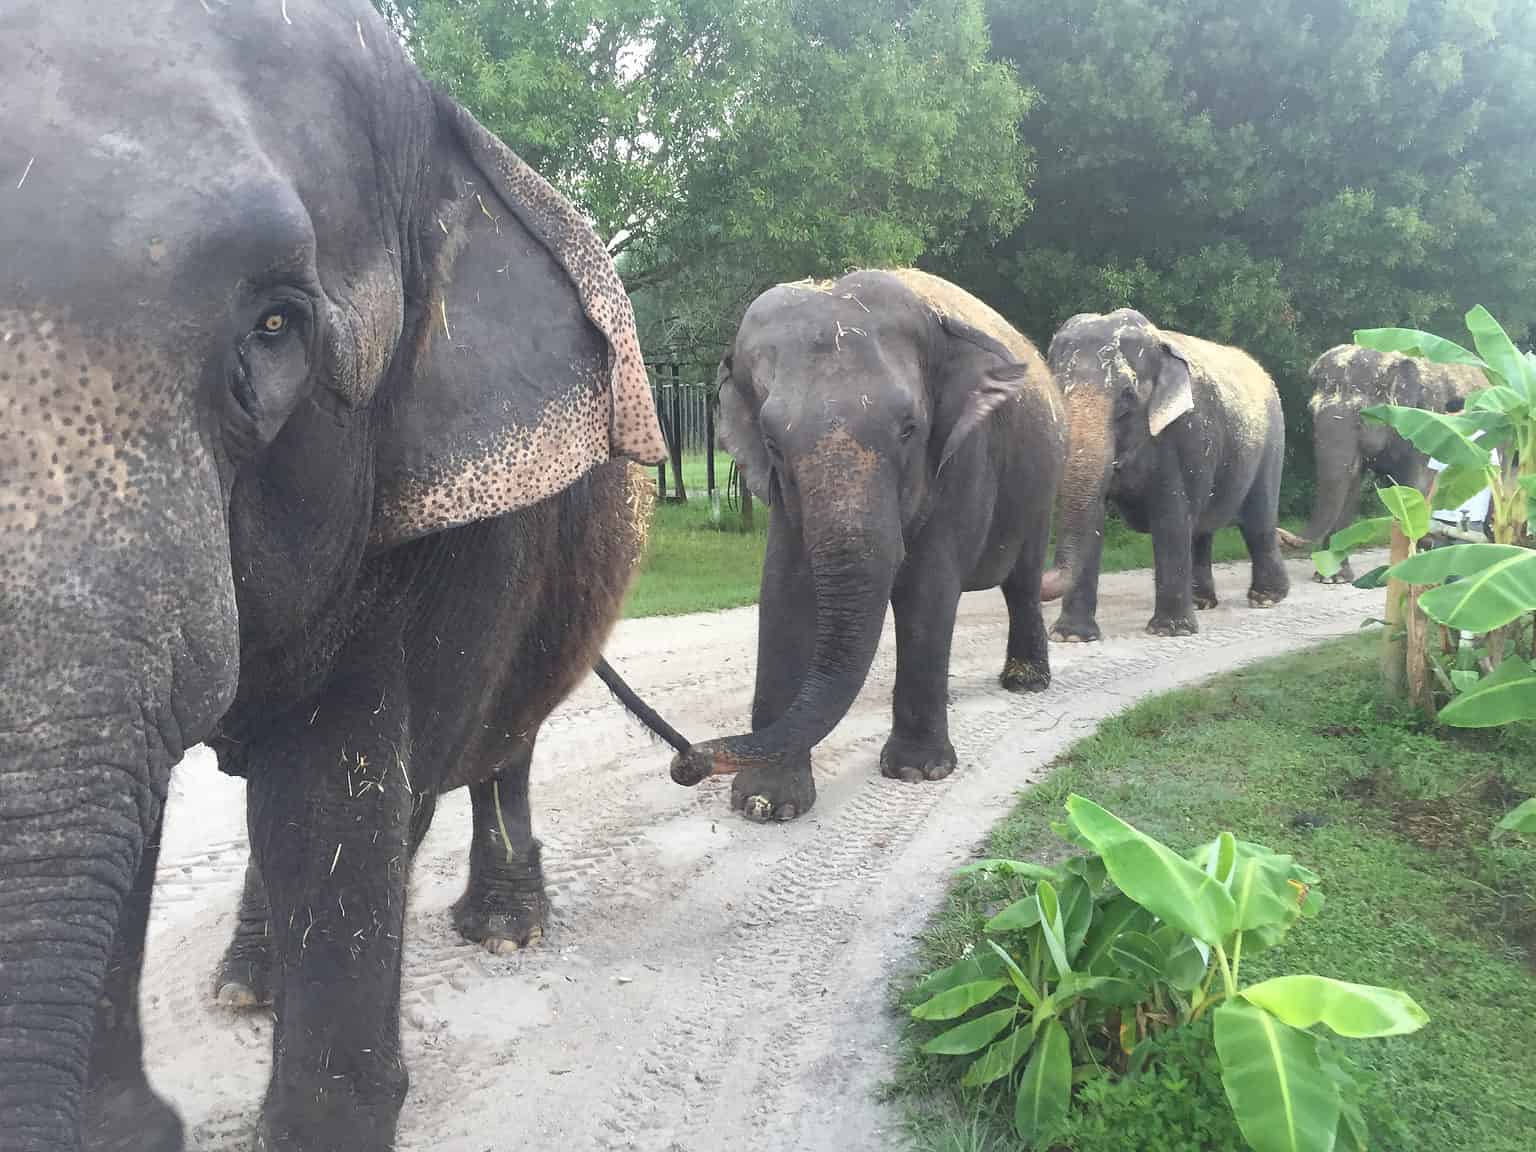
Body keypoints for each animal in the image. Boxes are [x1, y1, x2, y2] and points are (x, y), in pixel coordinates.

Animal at [669, 269, 1066, 821]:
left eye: (909, 430)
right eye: (771, 444)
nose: (687, 761)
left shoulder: (963, 457)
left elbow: (927, 589)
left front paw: (918, 772)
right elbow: (784, 591)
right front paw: (765, 802)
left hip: (1041, 482)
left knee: (1022, 582)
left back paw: (1025, 681)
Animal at [1039, 309, 1290, 639]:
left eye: (1127, 396)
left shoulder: (1184, 432)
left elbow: (1170, 517)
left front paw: (1170, 631)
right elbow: (1094, 520)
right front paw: (1071, 636)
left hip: (1272, 443)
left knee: (1258, 520)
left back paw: (1267, 598)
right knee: (1201, 529)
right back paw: (1201, 602)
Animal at [1293, 345, 1488, 583]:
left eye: (1361, 418)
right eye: (1312, 412)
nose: (1284, 535)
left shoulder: (1426, 423)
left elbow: (1418, 484)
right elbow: (1352, 484)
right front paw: (1333, 578)